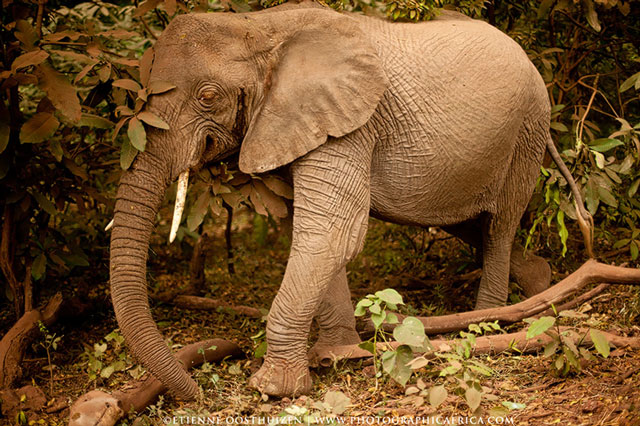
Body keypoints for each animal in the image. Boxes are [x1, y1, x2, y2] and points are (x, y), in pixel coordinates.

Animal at [108, 1, 594, 400]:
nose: (197, 391)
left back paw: (487, 321)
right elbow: (316, 235)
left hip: (528, 126)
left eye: (207, 96)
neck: (258, 25)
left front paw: (274, 389)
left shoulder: (351, 122)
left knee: (498, 225)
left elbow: (330, 233)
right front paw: (340, 354)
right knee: (468, 222)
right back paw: (540, 283)